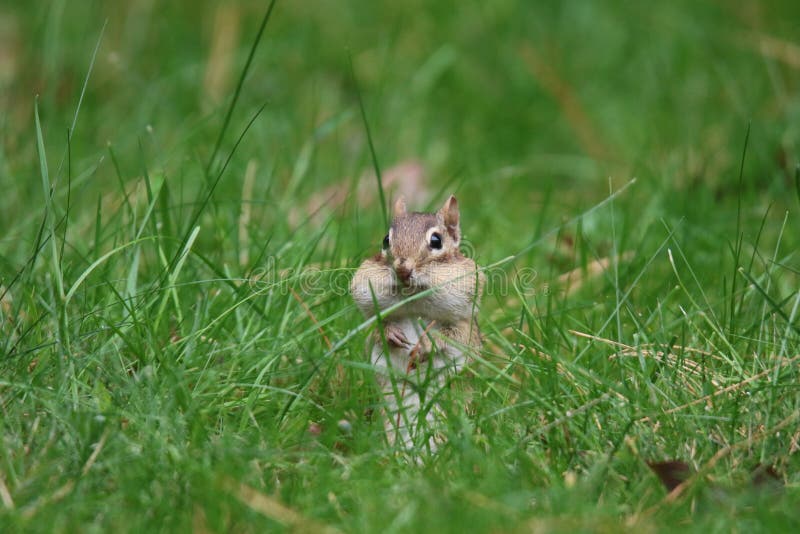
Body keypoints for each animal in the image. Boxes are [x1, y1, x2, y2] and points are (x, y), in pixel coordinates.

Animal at [350, 195, 484, 451]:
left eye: (436, 241)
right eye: (386, 240)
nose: (402, 269)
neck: (414, 304)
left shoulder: (463, 325)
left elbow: (449, 336)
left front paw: (425, 345)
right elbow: (377, 329)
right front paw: (391, 334)